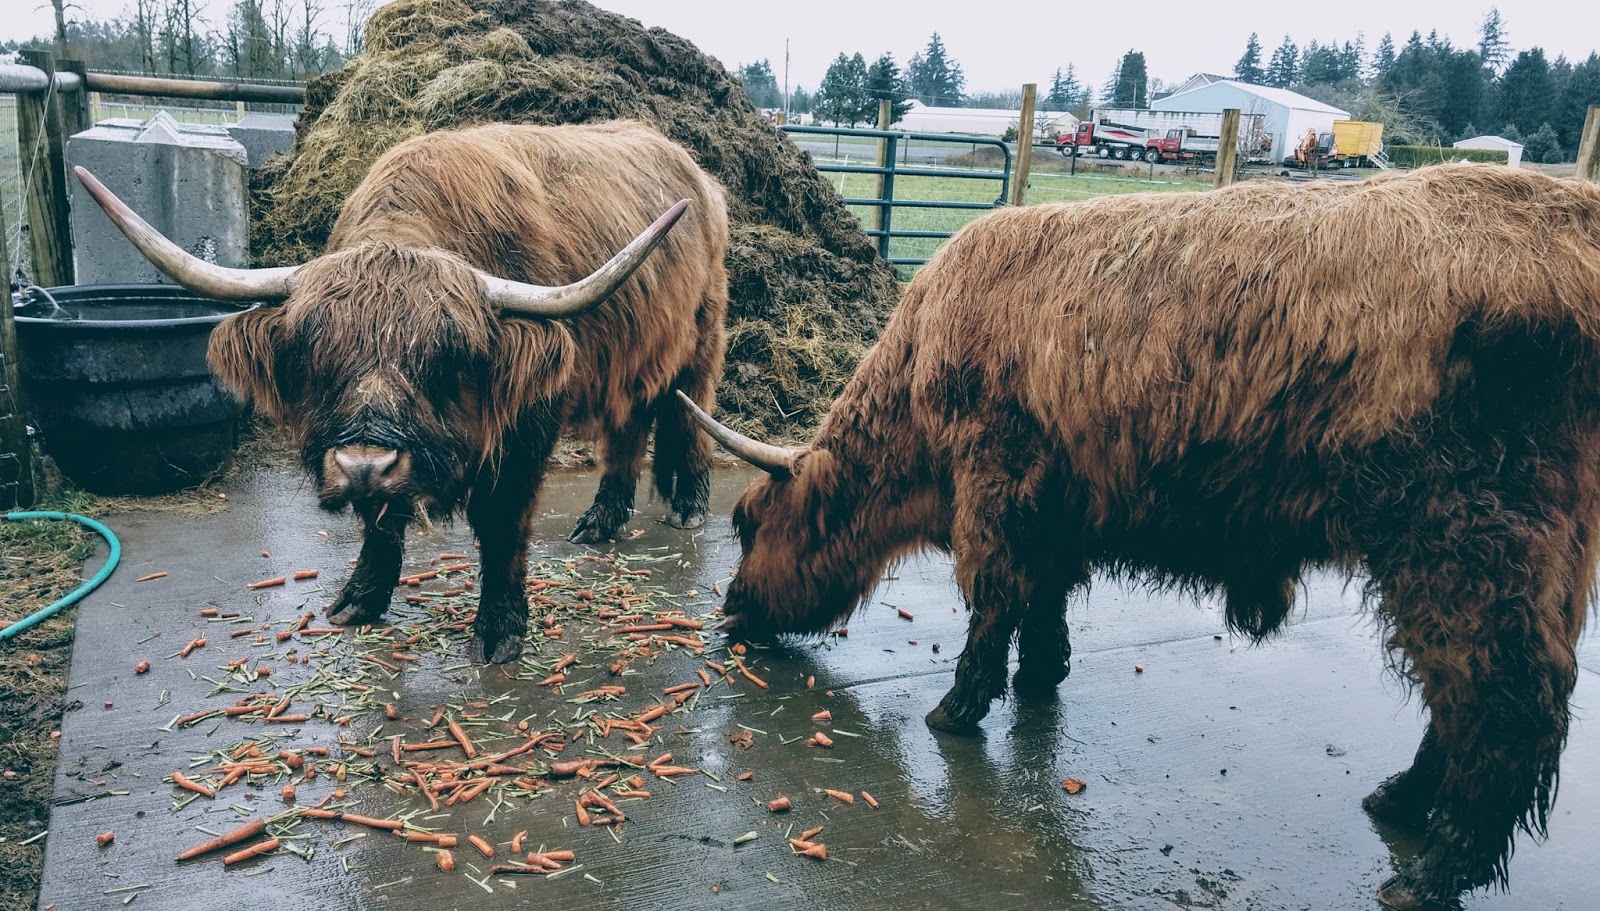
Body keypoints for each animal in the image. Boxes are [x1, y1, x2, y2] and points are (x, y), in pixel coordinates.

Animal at [77, 120, 729, 664]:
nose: (364, 463)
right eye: (316, 358)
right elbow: (378, 520)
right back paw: (601, 519)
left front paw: (500, 629)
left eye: (446, 361)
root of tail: (694, 172)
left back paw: (689, 505)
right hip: (637, 353)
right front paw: (359, 600)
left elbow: (502, 522)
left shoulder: (524, 428)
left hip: (703, 333)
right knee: (631, 423)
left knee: (690, 411)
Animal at [679, 164, 1600, 908]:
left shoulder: (995, 471)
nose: (731, 609)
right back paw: (1402, 800)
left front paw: (959, 709)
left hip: (1468, 536)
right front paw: (1041, 676)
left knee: (1504, 701)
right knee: (1474, 695)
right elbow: (1042, 596)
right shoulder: (1056, 497)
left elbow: (992, 596)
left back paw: (1431, 868)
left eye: (746, 522)